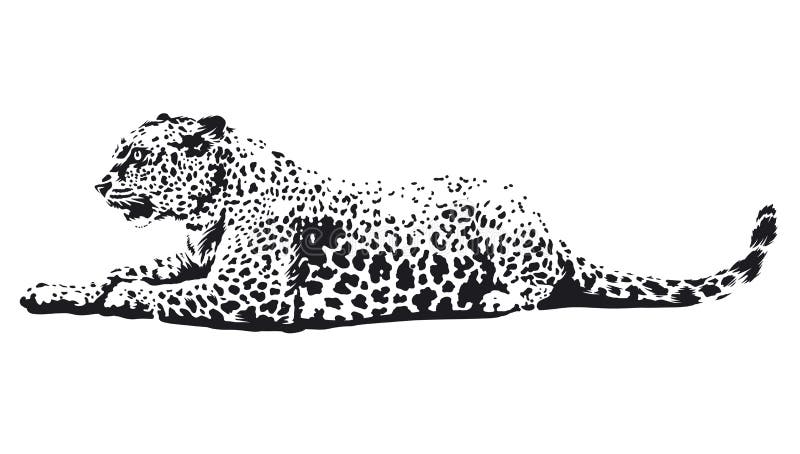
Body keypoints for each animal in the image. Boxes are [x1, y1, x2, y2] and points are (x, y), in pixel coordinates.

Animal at [20, 113, 778, 332]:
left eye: (136, 156)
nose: (97, 184)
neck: (212, 208)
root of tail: (552, 225)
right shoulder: (192, 259)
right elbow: (118, 269)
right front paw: (53, 289)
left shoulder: (245, 293)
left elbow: (151, 292)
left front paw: (119, 297)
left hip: (504, 224)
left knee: (539, 285)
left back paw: (492, 297)